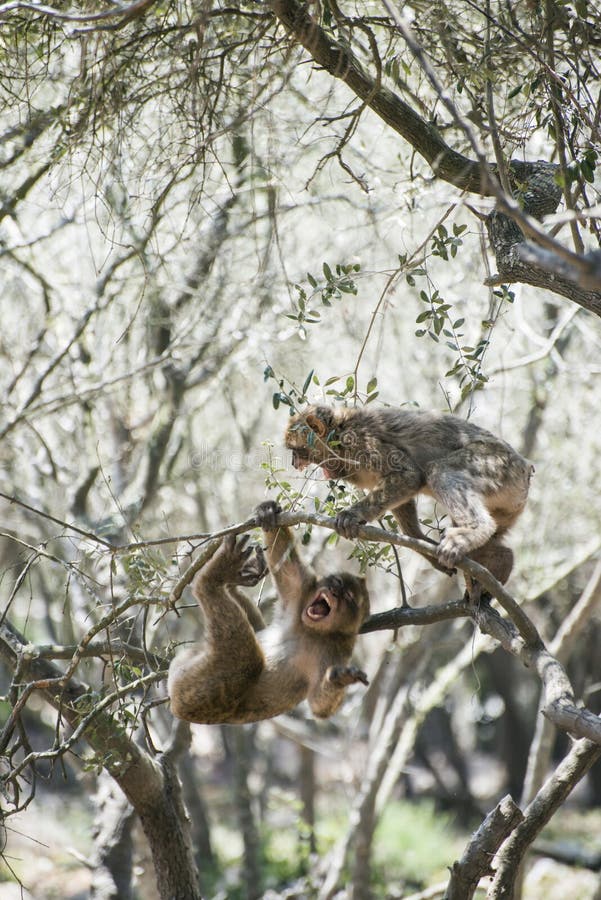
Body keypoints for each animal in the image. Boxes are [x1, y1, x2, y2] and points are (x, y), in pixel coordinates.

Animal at [168, 506, 370, 725]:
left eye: (348, 596)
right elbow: (286, 566)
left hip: (202, 696)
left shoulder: (336, 650)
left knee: (249, 664)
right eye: (338, 582)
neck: (312, 630)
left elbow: (319, 706)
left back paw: (211, 580)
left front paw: (340, 679)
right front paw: (268, 513)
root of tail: (176, 707)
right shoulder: (300, 597)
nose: (334, 591)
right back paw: (232, 579)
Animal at [284, 404, 534, 584]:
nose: (294, 463)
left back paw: (474, 531)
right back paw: (501, 560)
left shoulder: (361, 443)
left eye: (298, 450)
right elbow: (403, 494)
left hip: (496, 465)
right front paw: (420, 542)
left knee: (440, 471)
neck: (340, 431)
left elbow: (409, 475)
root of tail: (525, 468)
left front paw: (353, 515)